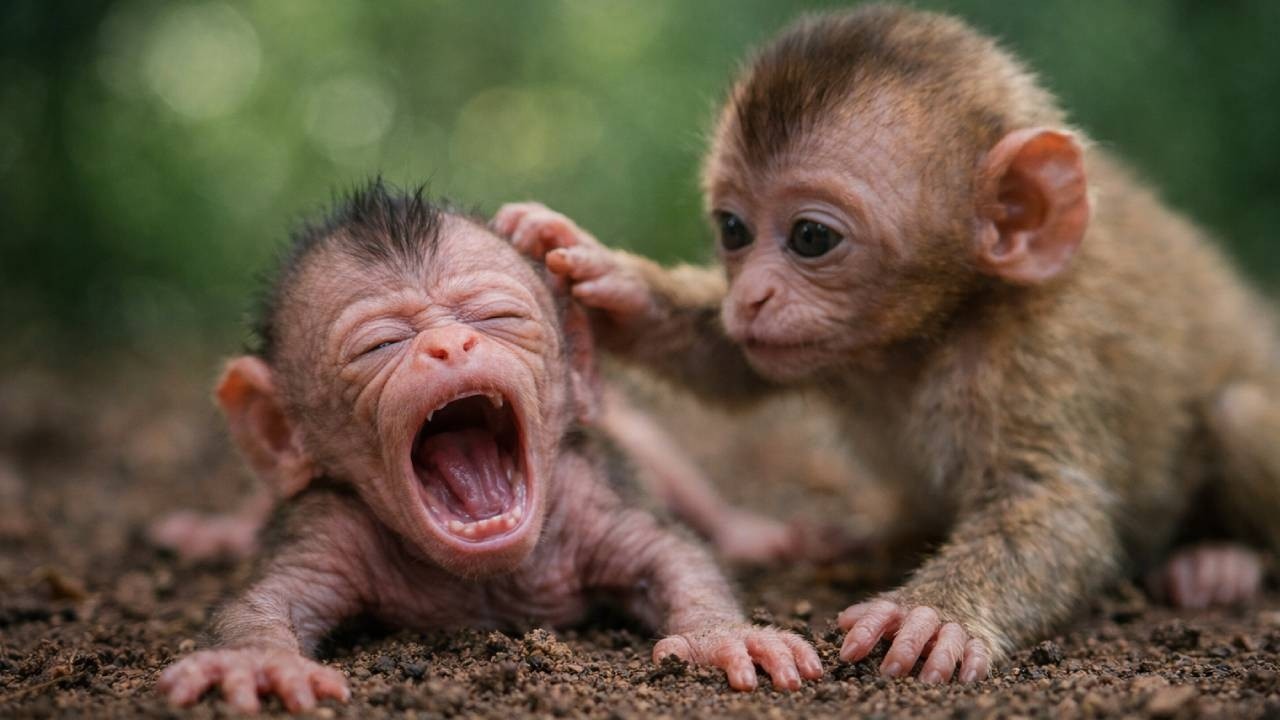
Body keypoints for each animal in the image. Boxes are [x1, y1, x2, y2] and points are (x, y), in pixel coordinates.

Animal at [156, 181, 822, 713]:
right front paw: (256, 662)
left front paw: (722, 635)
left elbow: (672, 554)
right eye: (379, 345)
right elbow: (266, 598)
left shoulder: (585, 493)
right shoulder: (330, 522)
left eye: (496, 317)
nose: (450, 345)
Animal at [494, 4, 1280, 684]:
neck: (927, 333)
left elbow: (1057, 503)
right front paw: (607, 278)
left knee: (1236, 412)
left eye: (812, 238)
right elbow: (729, 364)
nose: (751, 297)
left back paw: (1221, 560)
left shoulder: (1043, 345)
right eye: (733, 231)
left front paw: (936, 614)